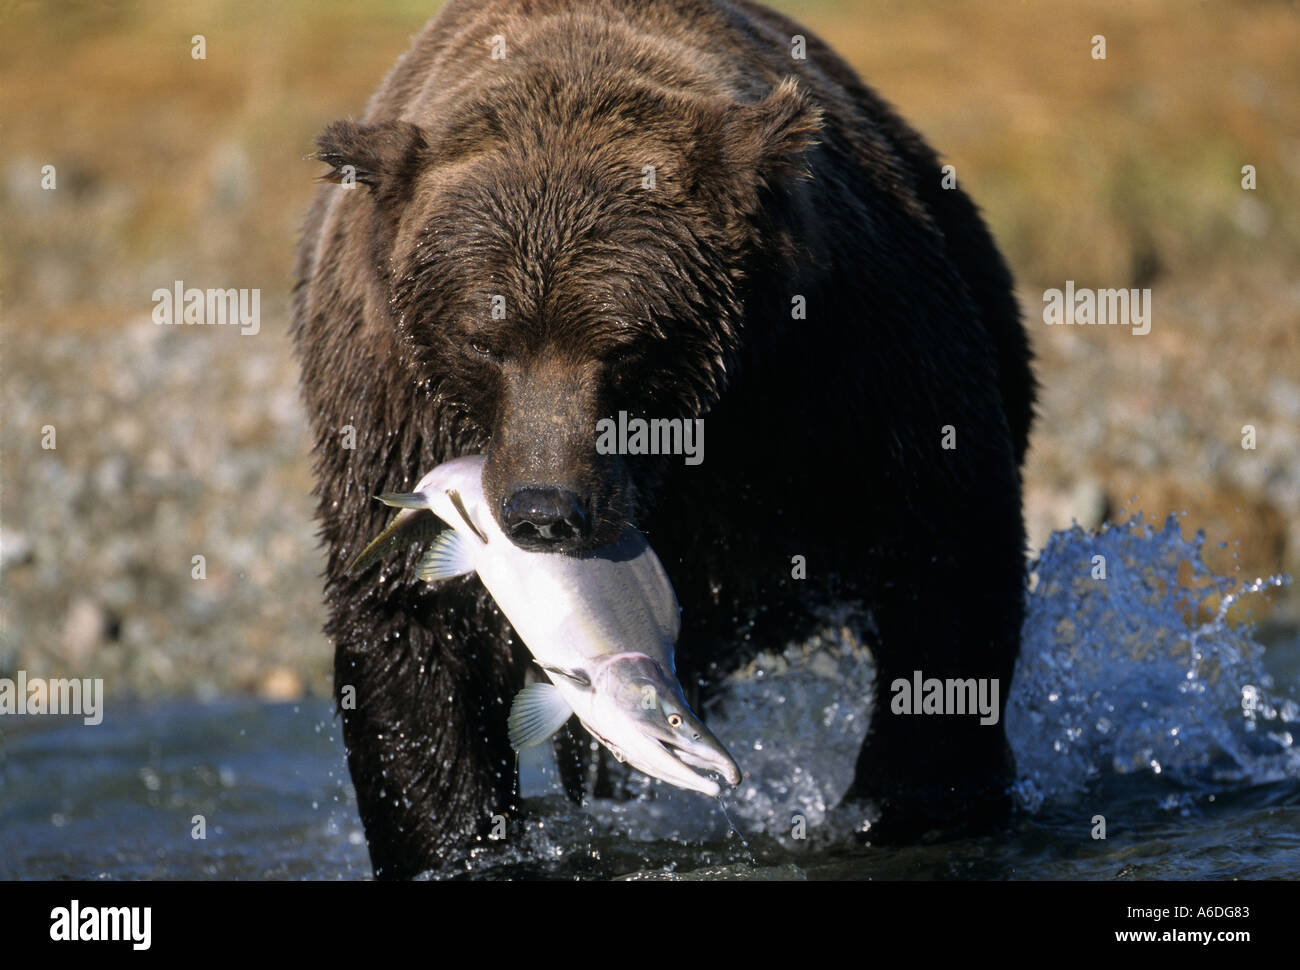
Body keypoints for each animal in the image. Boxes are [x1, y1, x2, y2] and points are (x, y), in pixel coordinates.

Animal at [292, 0, 1034, 879]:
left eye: (623, 344)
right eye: (483, 340)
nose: (544, 512)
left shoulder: (839, 373)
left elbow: (944, 558)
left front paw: (911, 805)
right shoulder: (390, 405)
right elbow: (410, 633)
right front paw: (461, 843)